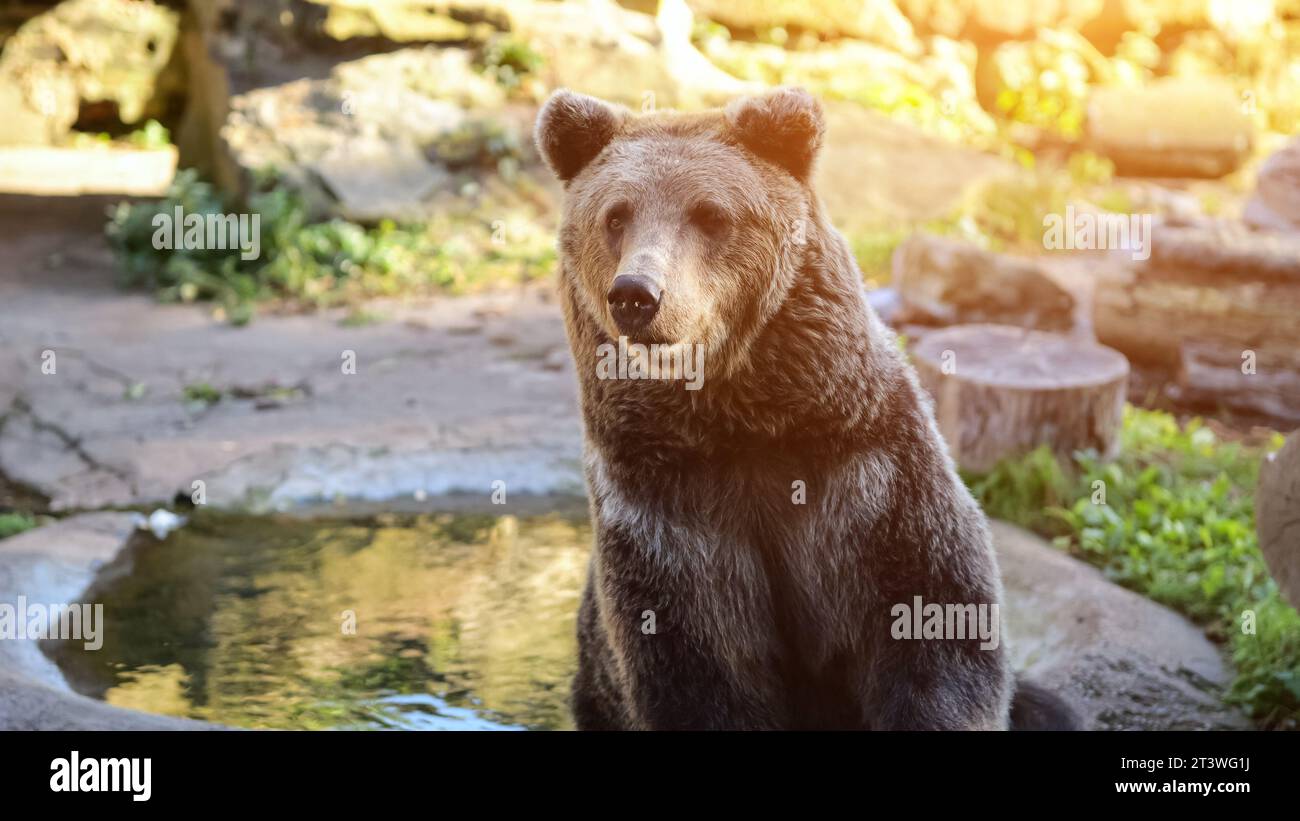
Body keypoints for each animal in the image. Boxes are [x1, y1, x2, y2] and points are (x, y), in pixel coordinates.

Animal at [534, 86, 1078, 730]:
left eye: (710, 214)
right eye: (616, 215)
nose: (637, 295)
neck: (740, 420)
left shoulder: (871, 473)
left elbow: (934, 625)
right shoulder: (663, 507)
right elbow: (697, 666)